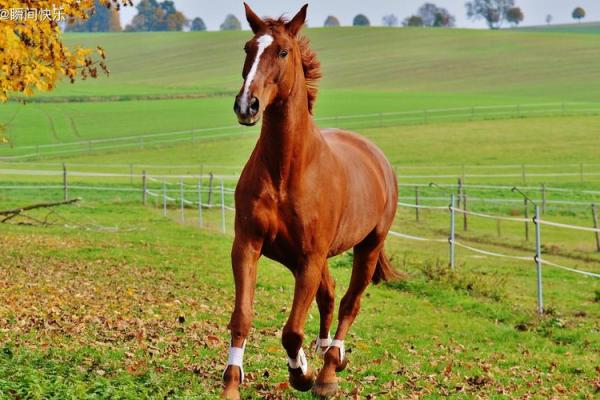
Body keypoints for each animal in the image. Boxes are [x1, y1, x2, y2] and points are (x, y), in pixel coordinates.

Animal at [221, 3, 398, 400]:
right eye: (247, 48)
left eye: (283, 52)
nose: (246, 105)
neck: (286, 171)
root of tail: (378, 158)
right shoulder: (249, 246)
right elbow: (242, 317)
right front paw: (231, 385)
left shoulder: (310, 258)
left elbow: (291, 331)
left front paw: (301, 374)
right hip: (304, 258)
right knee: (329, 296)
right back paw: (324, 353)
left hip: (367, 247)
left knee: (349, 303)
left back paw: (330, 368)